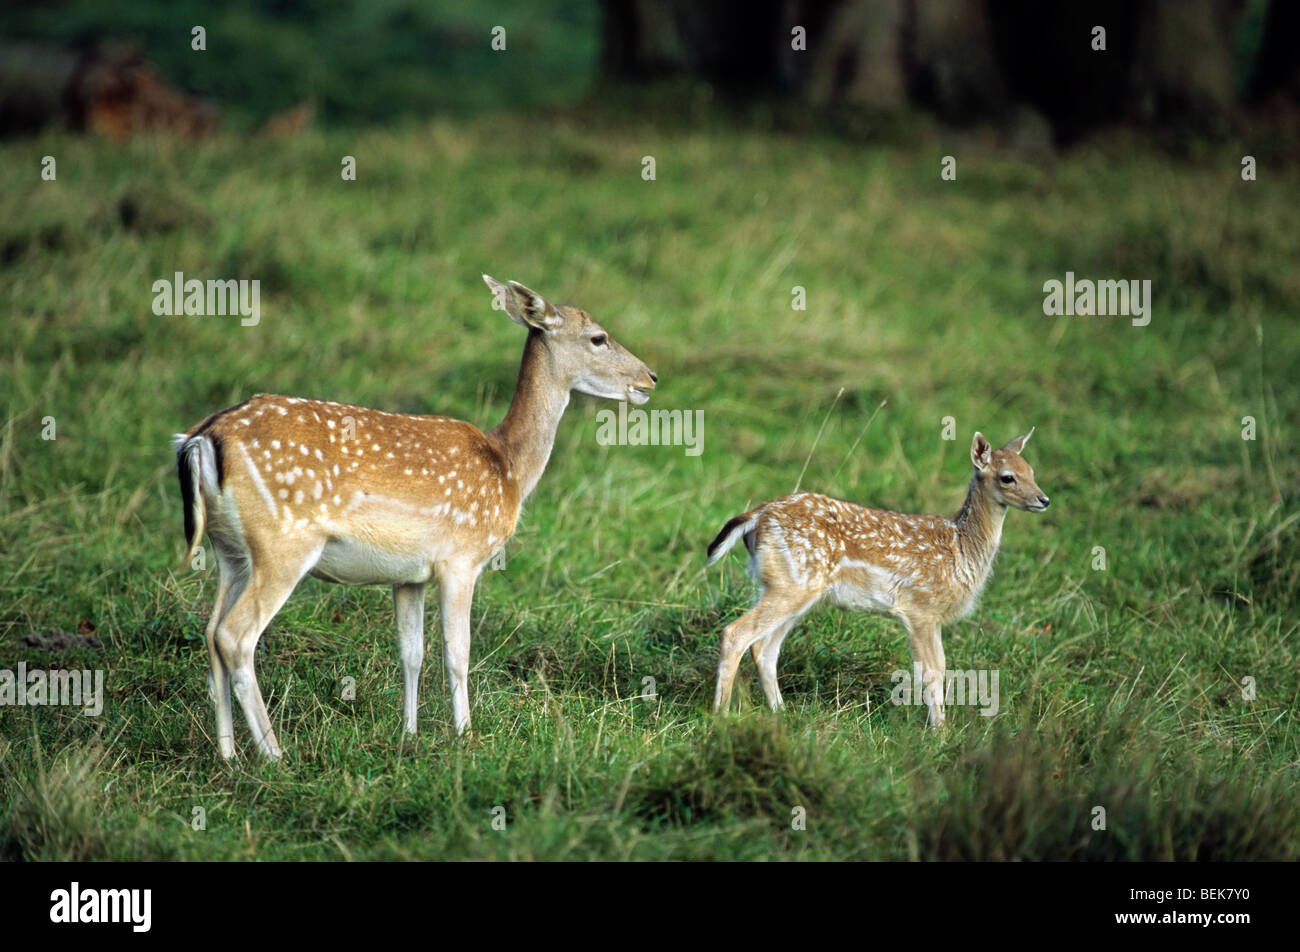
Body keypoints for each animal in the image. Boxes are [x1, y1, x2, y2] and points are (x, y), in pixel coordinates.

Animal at [174, 275, 657, 759]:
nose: (650, 377)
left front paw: (409, 733)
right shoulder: (461, 558)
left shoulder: (409, 575)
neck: (509, 468)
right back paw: (274, 755)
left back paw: (228, 754)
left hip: (229, 550)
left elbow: (411, 652)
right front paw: (464, 735)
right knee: (236, 635)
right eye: (598, 337)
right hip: (283, 542)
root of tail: (201, 439)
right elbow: (457, 652)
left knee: (211, 632)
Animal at [705, 430, 1049, 728]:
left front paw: (943, 729)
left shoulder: (933, 616)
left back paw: (781, 713)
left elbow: (942, 666)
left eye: (1031, 470)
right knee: (735, 634)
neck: (960, 548)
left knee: (764, 648)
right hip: (792, 584)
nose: (1044, 499)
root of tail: (757, 516)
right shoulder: (919, 608)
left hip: (791, 588)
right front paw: (939, 733)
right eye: (1008, 477)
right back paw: (721, 716)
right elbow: (931, 672)